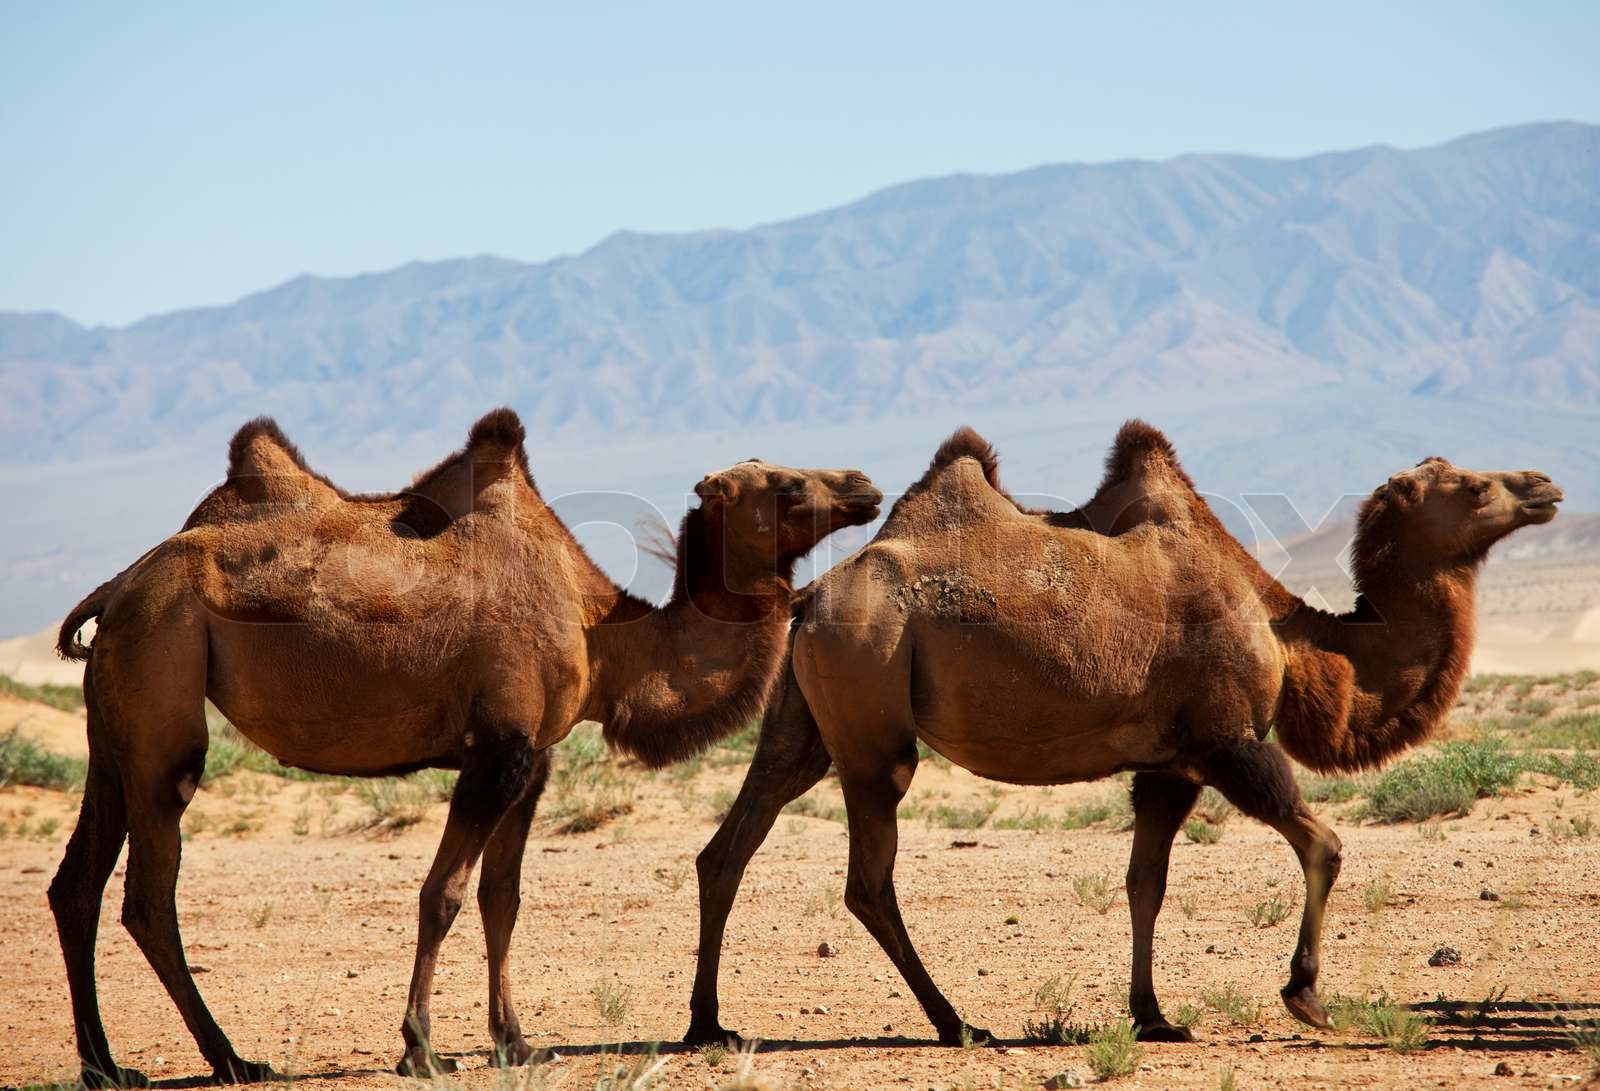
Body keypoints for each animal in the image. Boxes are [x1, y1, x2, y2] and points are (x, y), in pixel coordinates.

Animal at [49, 408, 882, 1085]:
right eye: (784, 484)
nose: (865, 484)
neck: (601, 635)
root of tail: (117, 587)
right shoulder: (497, 750)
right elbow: (442, 892)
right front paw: (421, 1049)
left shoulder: (535, 758)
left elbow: (500, 896)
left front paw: (516, 1041)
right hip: (165, 678)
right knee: (149, 891)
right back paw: (230, 1057)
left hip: (114, 720)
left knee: (76, 882)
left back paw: (106, 1066)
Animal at [684, 422, 1562, 1047]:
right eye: (1472, 485)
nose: (1544, 483)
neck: (1288, 630)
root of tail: (811, 600)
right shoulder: (1228, 740)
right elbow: (1324, 843)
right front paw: (1306, 994)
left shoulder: (1169, 764)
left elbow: (1146, 882)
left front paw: (1153, 1013)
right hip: (872, 722)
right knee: (868, 879)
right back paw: (957, 1022)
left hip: (804, 723)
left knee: (730, 845)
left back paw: (708, 1024)